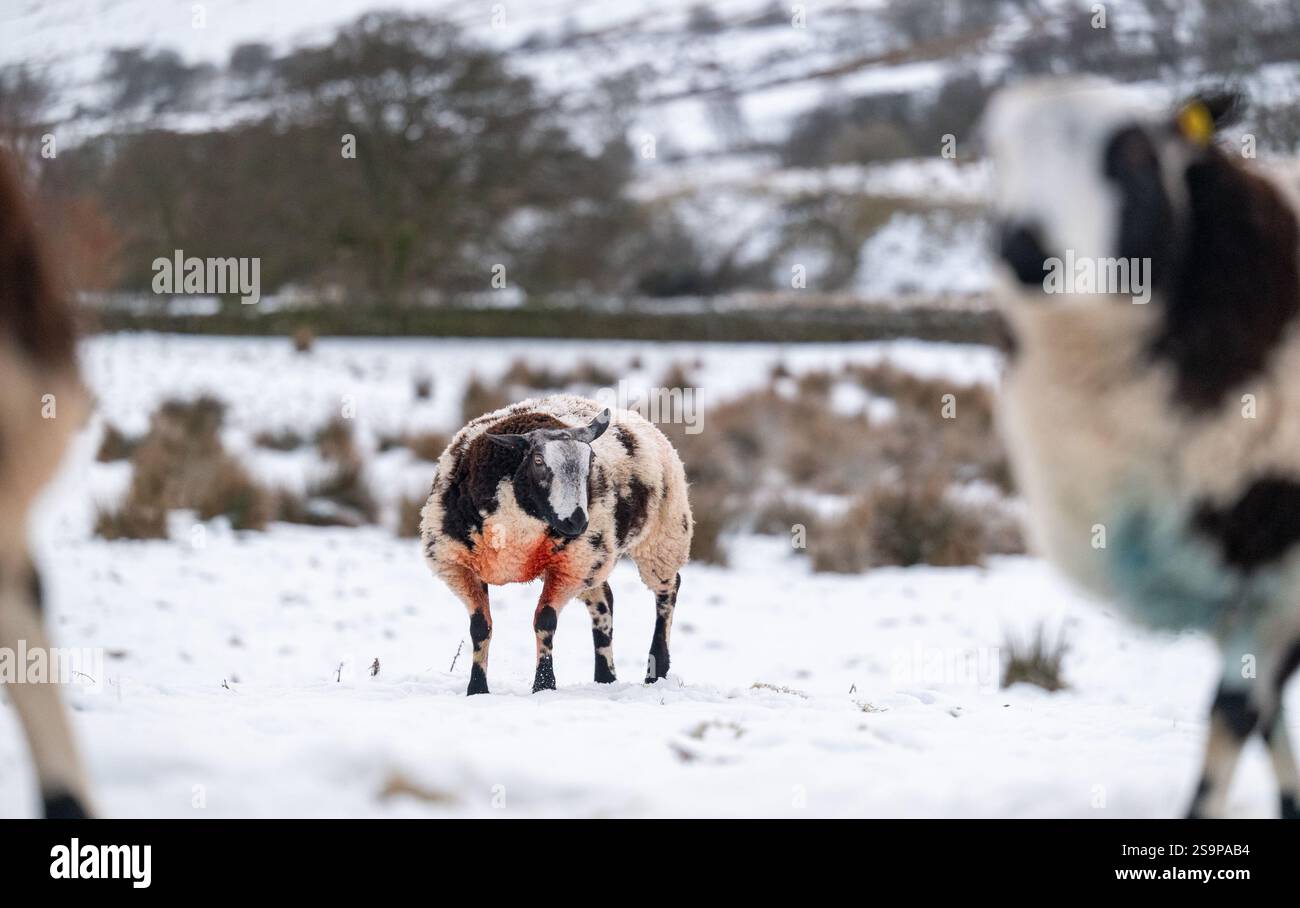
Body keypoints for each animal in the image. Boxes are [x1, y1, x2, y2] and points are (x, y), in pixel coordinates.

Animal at [420, 393, 693, 695]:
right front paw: (477, 688)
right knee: (603, 601)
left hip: (662, 535)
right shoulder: (457, 565)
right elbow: (481, 628)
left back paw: (656, 672)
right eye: (538, 460)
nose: (576, 520)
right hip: (595, 558)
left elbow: (545, 621)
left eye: (590, 461)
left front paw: (543, 685)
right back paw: (605, 677)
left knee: (667, 592)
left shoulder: (568, 567)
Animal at [985, 79, 1300, 818]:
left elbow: (1234, 716)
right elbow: (1263, 710)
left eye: (1130, 155)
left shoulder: (1281, 571)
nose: (1022, 248)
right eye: (997, 154)